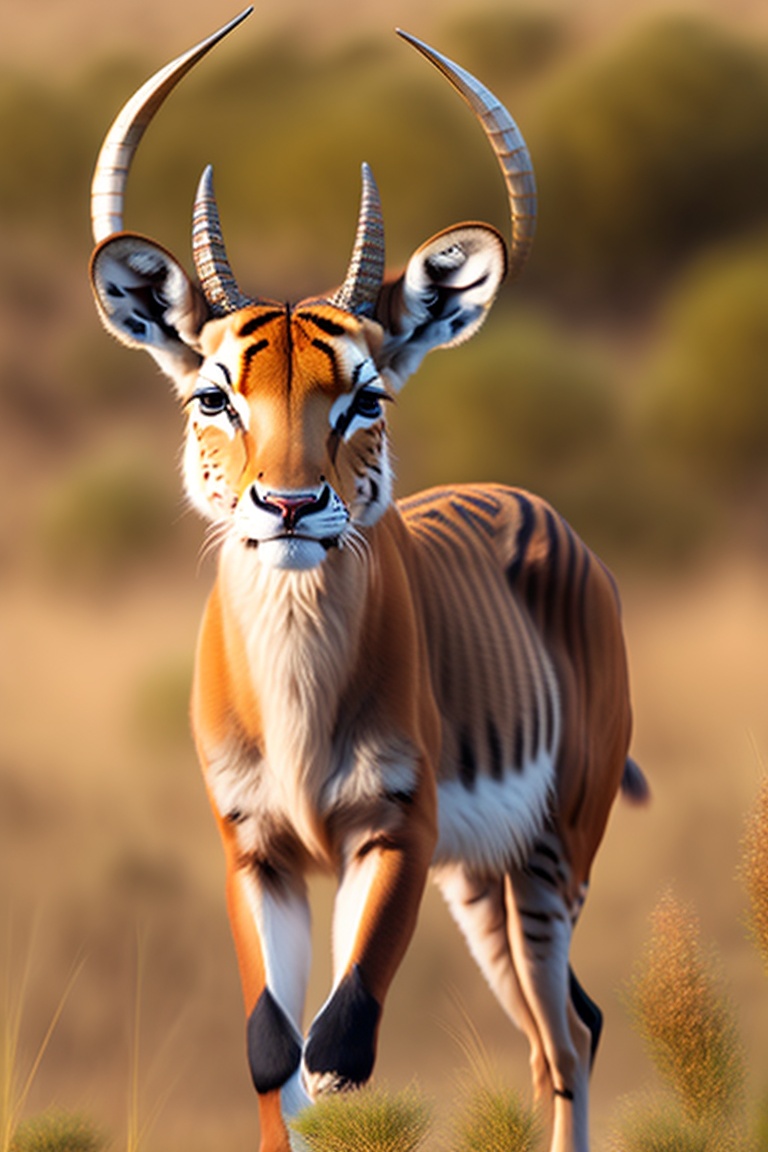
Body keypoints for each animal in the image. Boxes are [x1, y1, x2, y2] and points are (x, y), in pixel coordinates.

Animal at [89, 10, 643, 1152]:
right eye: (214, 393)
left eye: (365, 394)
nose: (291, 506)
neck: (300, 705)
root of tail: (545, 518)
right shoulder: (258, 849)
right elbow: (275, 1058)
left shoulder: (391, 829)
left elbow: (340, 1057)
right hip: (478, 885)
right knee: (560, 1027)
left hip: (549, 858)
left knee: (568, 1035)